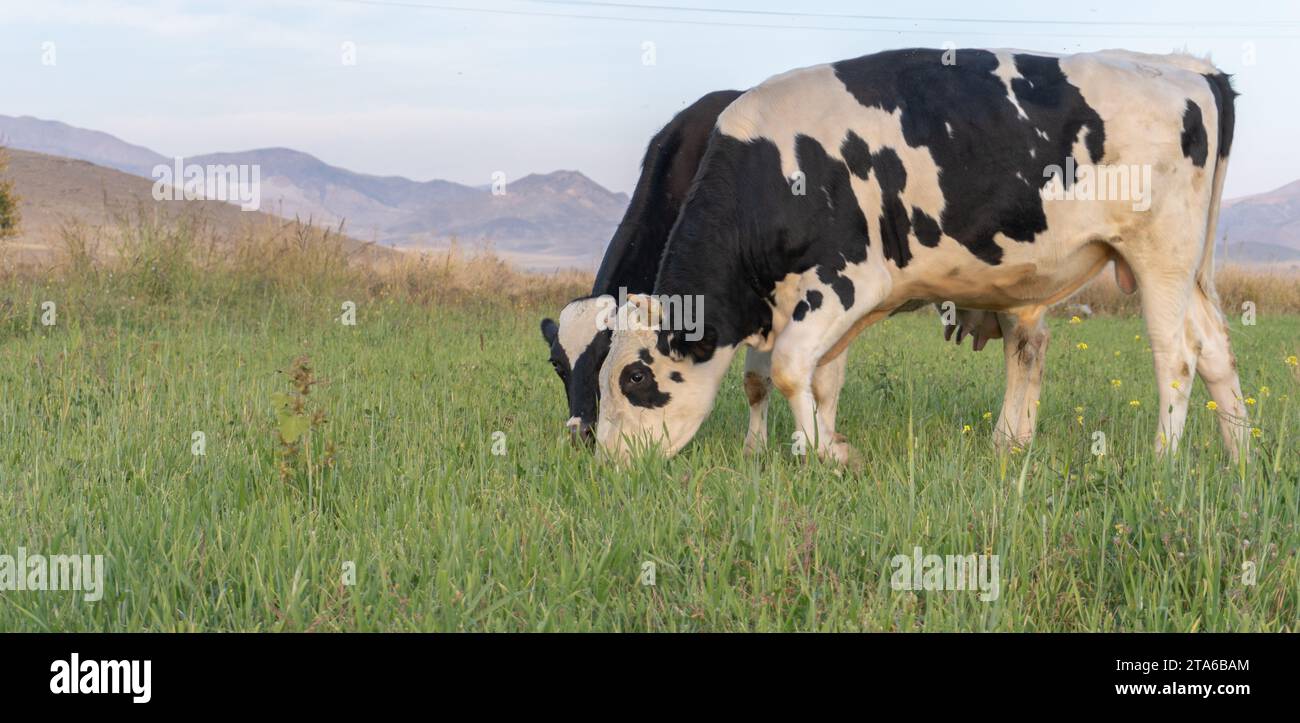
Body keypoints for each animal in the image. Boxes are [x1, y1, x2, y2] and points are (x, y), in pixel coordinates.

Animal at [595, 48, 1242, 464]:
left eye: (634, 376)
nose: (606, 458)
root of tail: (1187, 70)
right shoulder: (825, 301)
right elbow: (821, 376)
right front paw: (825, 445)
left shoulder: (845, 280)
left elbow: (788, 367)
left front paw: (818, 454)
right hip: (1188, 269)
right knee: (1214, 351)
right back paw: (1240, 459)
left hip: (1161, 255)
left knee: (1176, 357)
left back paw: (1162, 461)